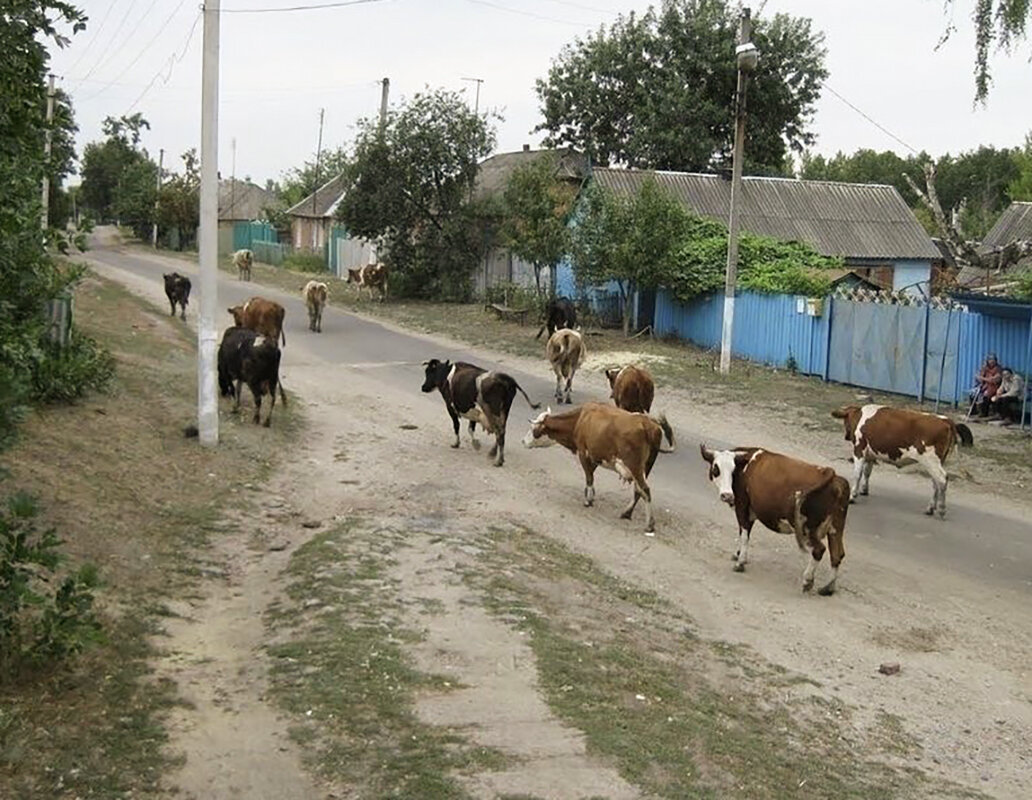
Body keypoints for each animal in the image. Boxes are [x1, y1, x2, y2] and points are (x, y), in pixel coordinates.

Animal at [524, 404, 676, 536]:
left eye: (533, 428)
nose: (523, 441)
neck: (581, 419)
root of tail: (647, 424)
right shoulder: (595, 456)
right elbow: (591, 475)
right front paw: (591, 496)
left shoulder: (583, 453)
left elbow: (589, 477)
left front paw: (588, 500)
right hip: (646, 467)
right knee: (639, 491)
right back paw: (627, 513)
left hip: (635, 466)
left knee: (645, 490)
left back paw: (649, 525)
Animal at [697, 443, 850, 594]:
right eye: (716, 469)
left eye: (733, 470)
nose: (727, 495)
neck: (745, 467)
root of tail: (833, 476)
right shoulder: (750, 512)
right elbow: (744, 533)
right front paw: (738, 553)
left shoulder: (742, 507)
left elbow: (744, 534)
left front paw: (740, 562)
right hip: (836, 529)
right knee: (837, 554)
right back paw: (828, 588)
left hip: (807, 528)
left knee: (819, 550)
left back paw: (807, 580)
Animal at [829, 406, 974, 520]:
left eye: (845, 421)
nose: (846, 436)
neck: (860, 416)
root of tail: (946, 420)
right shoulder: (870, 453)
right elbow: (867, 471)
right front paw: (864, 490)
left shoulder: (859, 449)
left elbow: (857, 474)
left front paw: (852, 495)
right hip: (937, 462)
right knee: (936, 482)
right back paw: (930, 508)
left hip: (931, 461)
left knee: (942, 479)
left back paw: (942, 509)